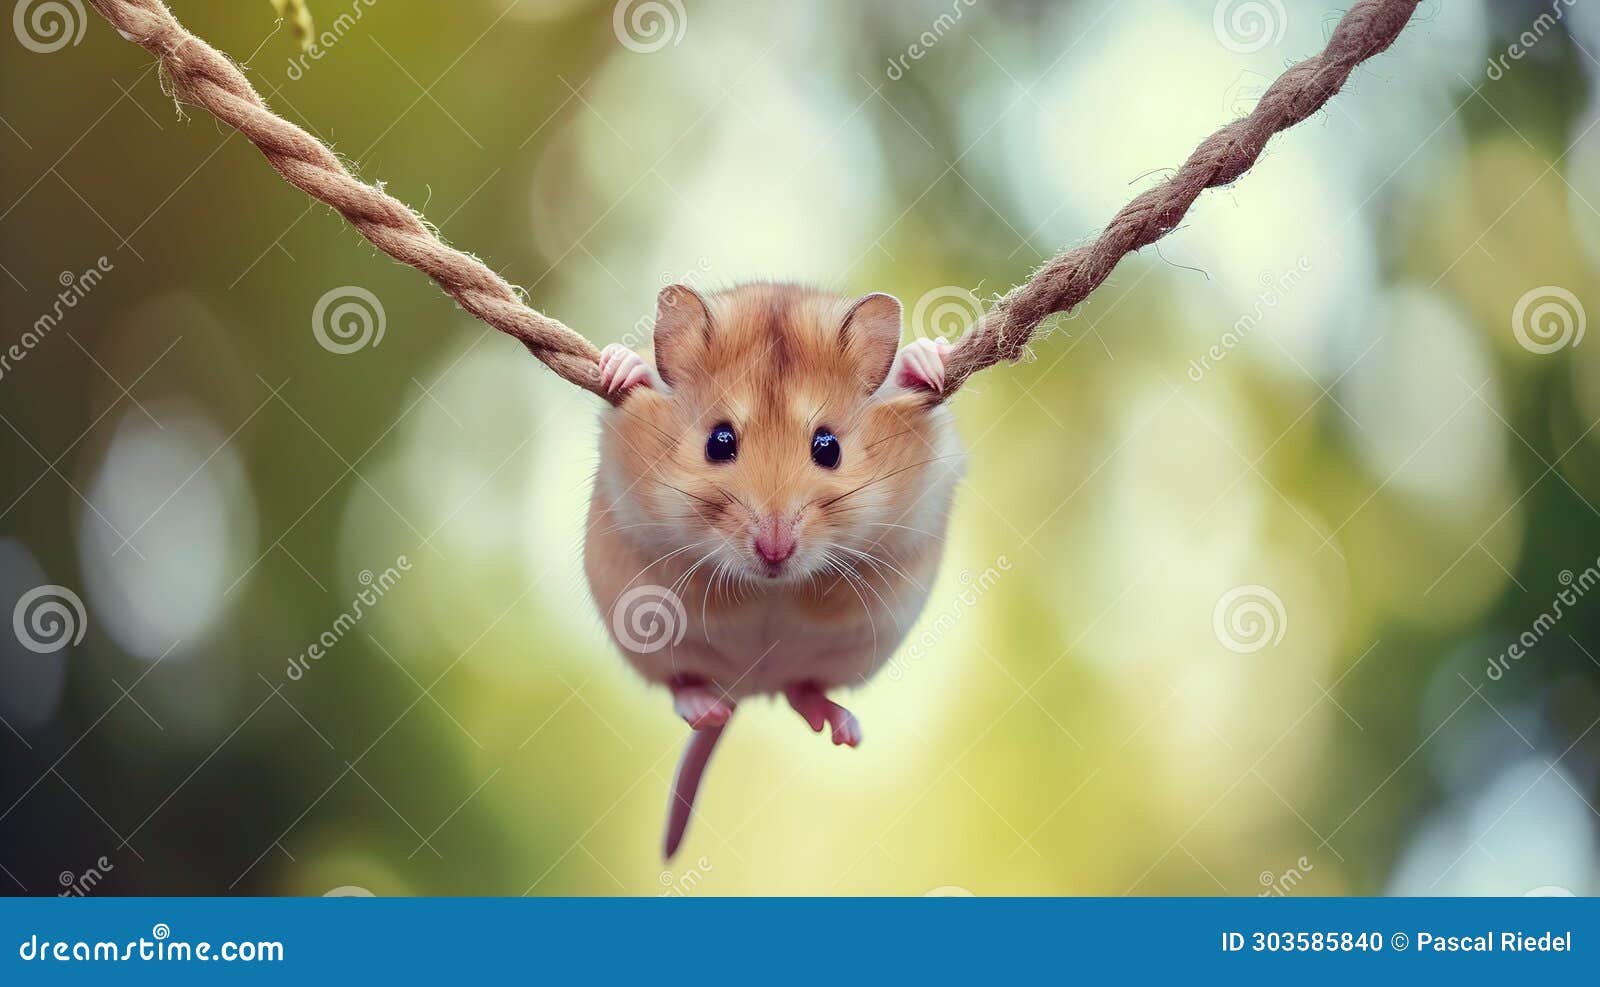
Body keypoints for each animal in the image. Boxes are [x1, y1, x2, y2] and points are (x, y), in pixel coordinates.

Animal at [584, 282, 965, 857]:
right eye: (719, 440)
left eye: (828, 447)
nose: (774, 551)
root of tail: (745, 686)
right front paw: (621, 370)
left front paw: (926, 363)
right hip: (652, 643)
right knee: (681, 685)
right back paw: (707, 708)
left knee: (801, 692)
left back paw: (844, 729)